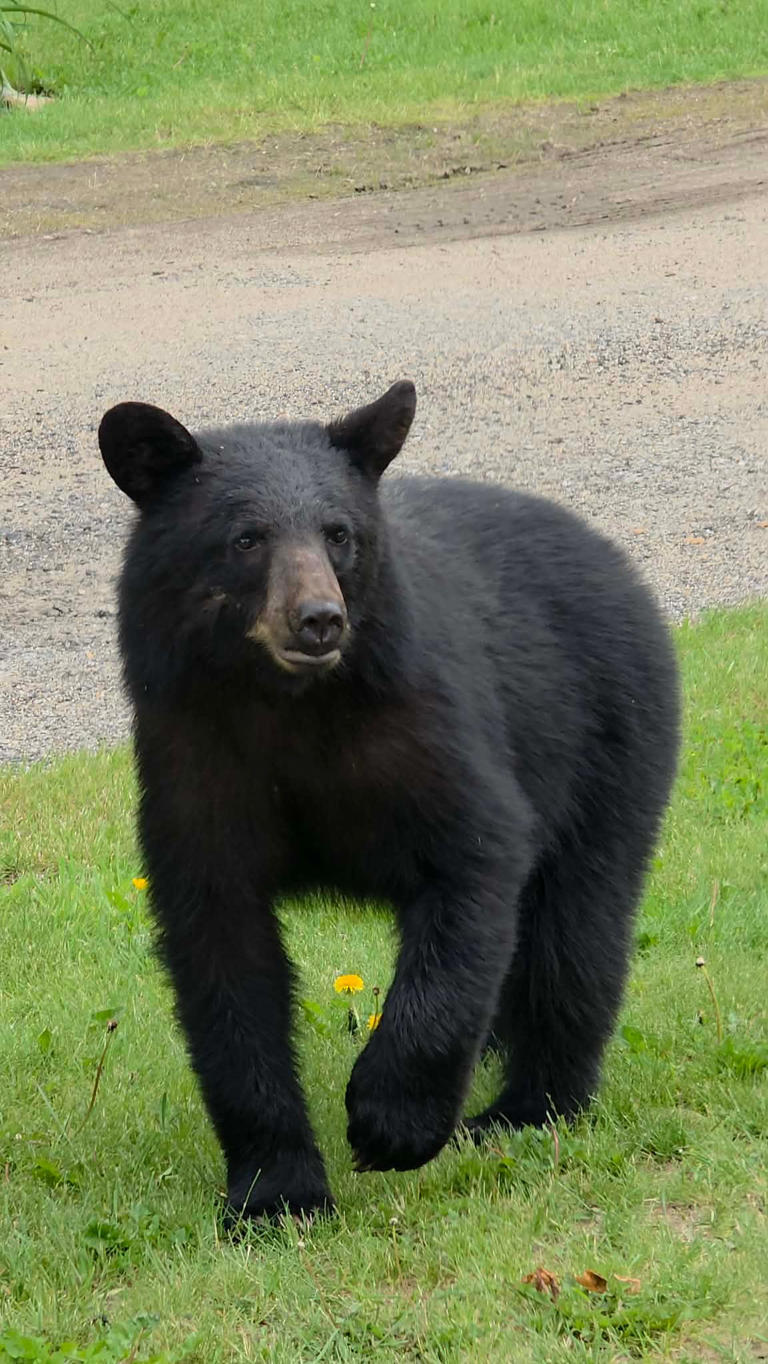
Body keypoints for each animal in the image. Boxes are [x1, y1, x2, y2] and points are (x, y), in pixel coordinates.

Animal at [99, 380, 680, 1222]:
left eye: (339, 533)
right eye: (245, 539)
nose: (319, 619)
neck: (290, 706)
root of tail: (613, 554)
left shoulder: (421, 724)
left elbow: (473, 866)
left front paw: (390, 1126)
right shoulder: (191, 758)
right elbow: (223, 964)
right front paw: (276, 1191)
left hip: (609, 742)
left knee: (574, 938)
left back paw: (523, 1110)